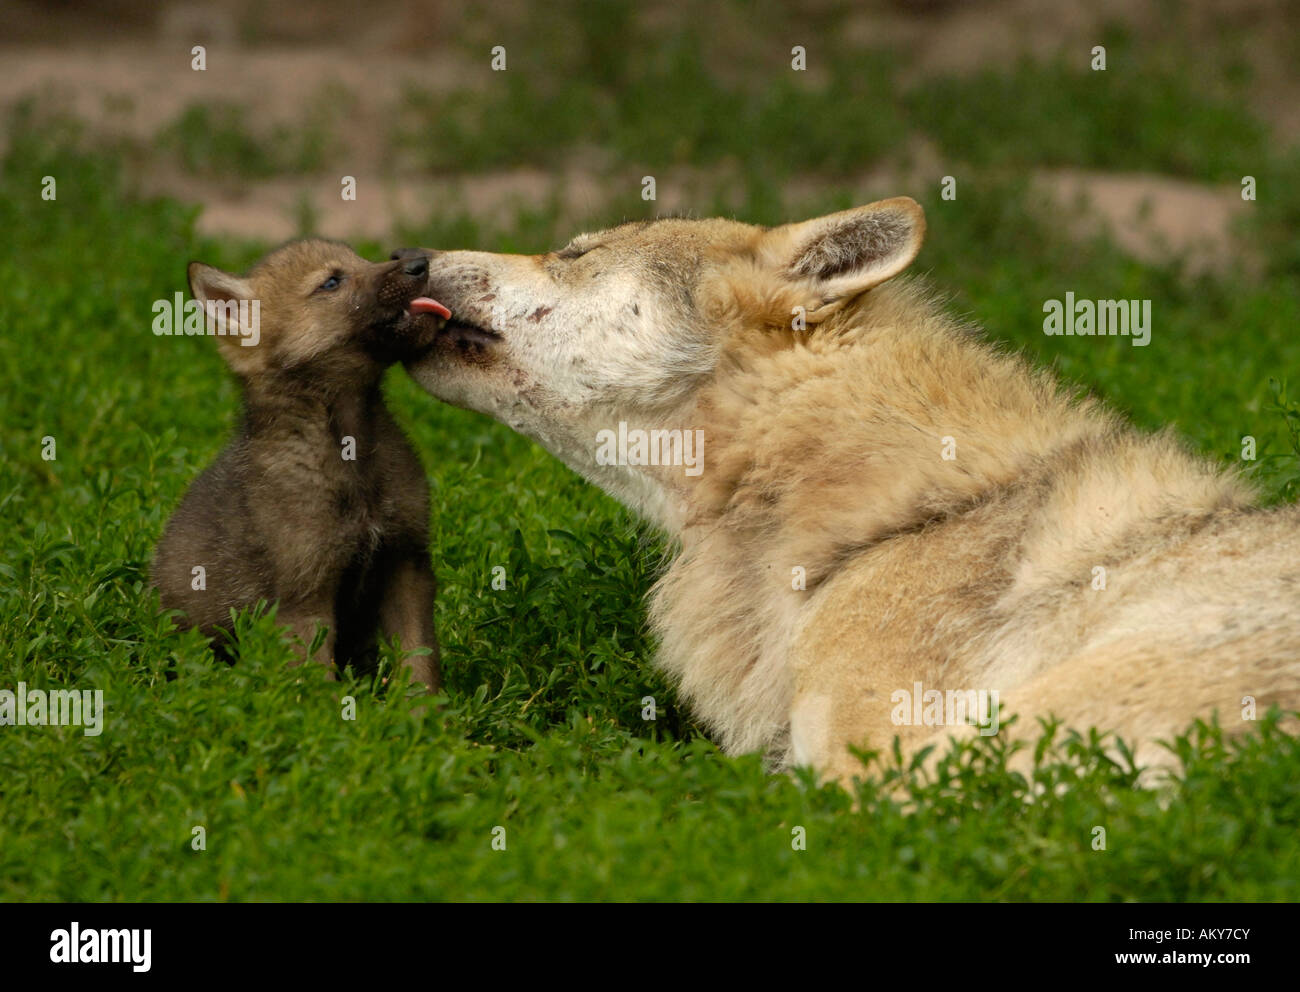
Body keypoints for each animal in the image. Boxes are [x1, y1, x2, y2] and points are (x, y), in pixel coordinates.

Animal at [153, 239, 449, 691]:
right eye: (331, 282)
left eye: (363, 260)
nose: (420, 264)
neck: (350, 448)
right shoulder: (304, 596)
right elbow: (315, 682)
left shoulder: (406, 564)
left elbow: (419, 662)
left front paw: (425, 712)